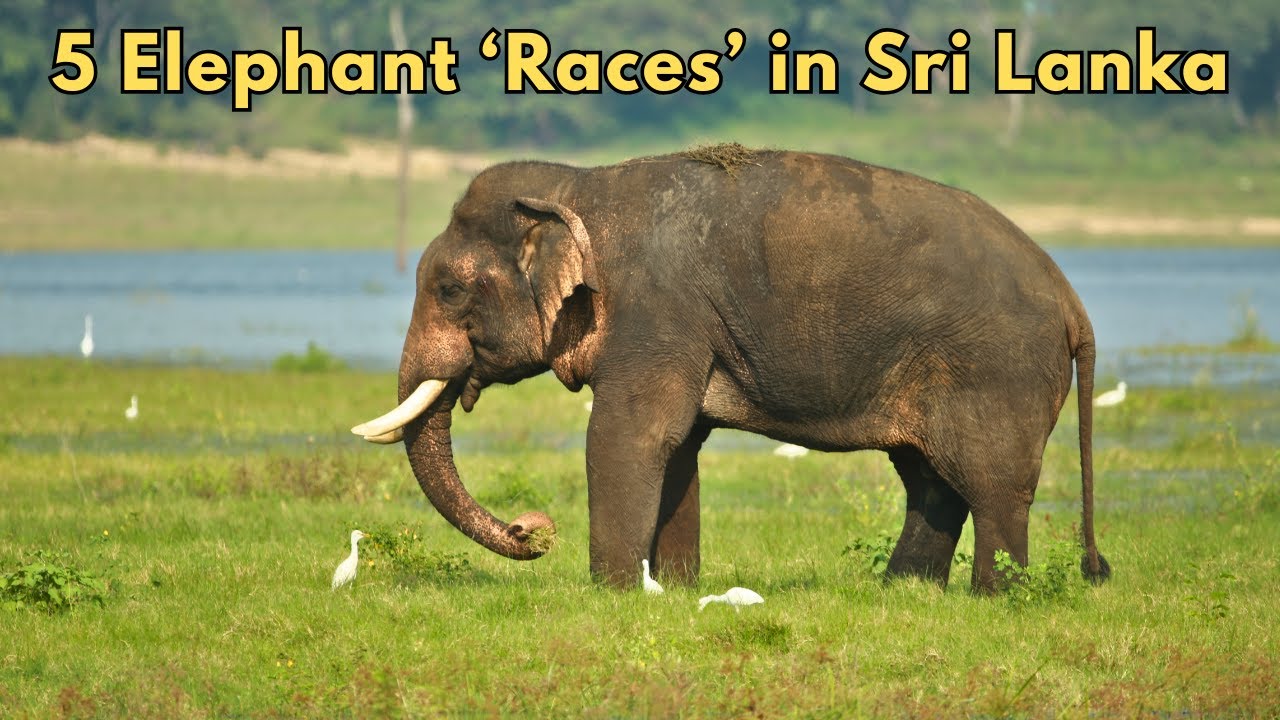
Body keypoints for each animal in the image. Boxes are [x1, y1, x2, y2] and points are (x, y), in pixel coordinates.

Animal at [351, 145, 1111, 593]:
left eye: (449, 289)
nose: (530, 532)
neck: (578, 185)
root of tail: (1072, 300)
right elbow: (678, 445)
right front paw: (675, 591)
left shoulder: (655, 312)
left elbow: (630, 437)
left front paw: (613, 594)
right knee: (931, 480)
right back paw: (903, 592)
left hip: (996, 368)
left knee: (990, 484)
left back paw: (994, 597)